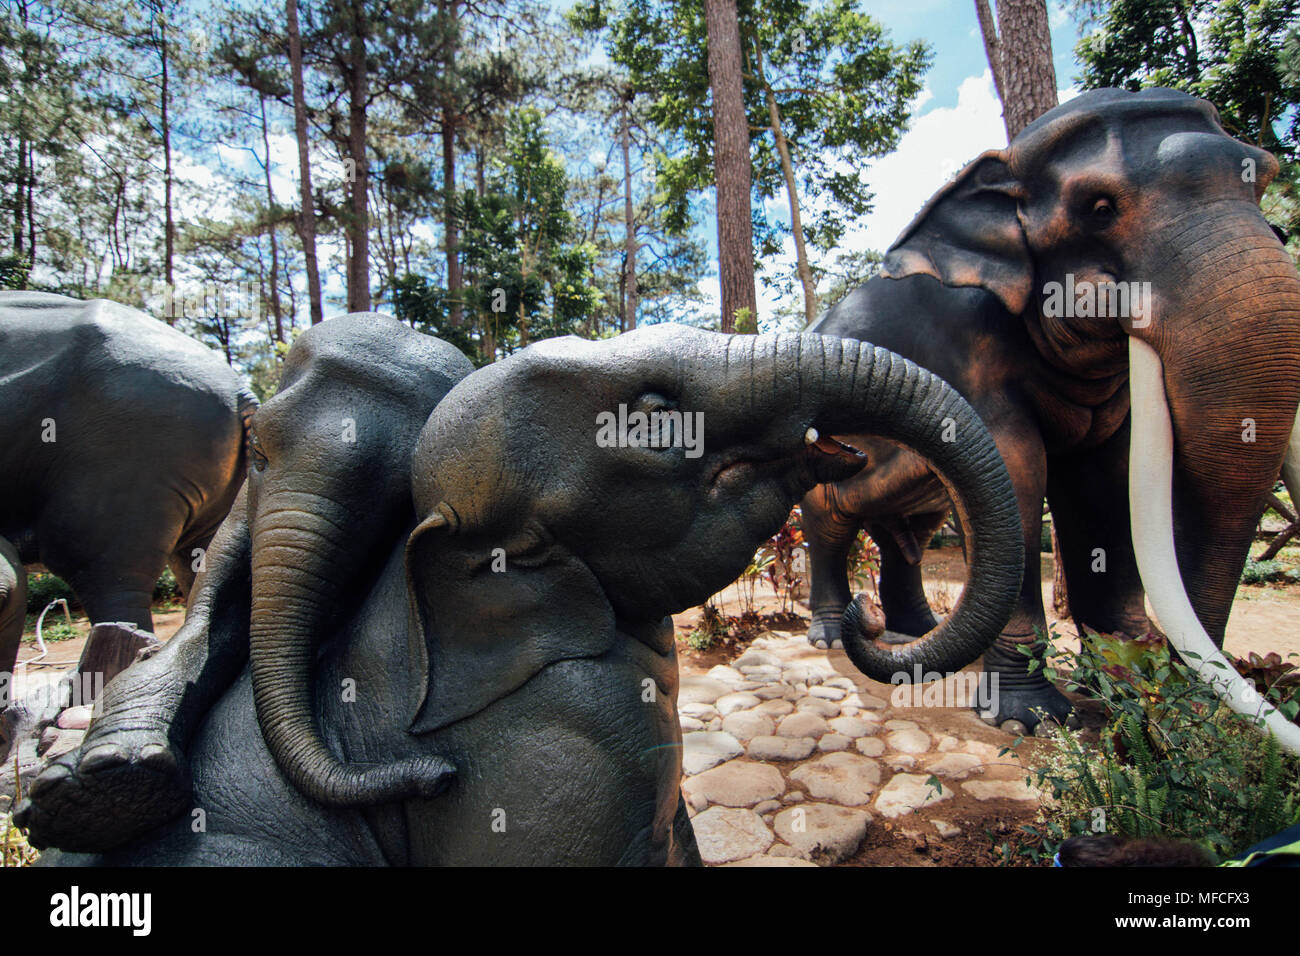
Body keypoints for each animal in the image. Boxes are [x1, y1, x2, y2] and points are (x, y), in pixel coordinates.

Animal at [801, 87, 1300, 750]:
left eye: (1265, 177)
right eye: (1099, 208)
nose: (1161, 719)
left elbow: (1106, 484)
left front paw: (1110, 691)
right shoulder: (964, 345)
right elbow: (1017, 468)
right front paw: (1029, 718)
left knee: (907, 533)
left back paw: (914, 637)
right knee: (830, 522)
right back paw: (834, 634)